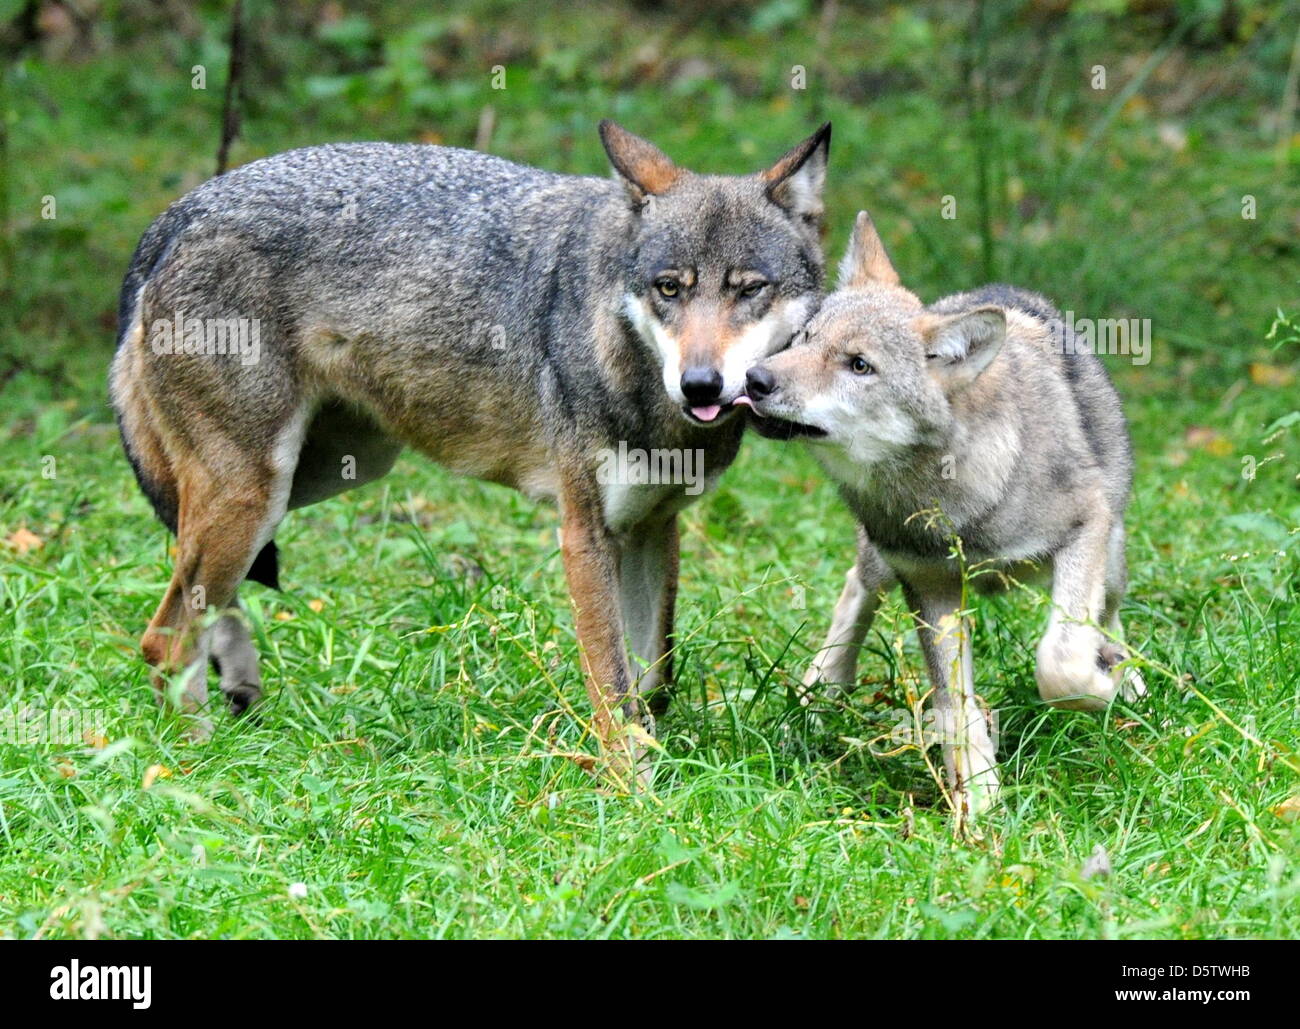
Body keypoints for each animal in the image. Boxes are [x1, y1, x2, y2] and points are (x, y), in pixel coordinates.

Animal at [110, 121, 831, 777]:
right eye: (669, 288)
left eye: (748, 288)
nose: (700, 383)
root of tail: (177, 215)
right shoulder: (584, 534)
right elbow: (612, 684)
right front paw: (634, 797)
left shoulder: (654, 526)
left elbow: (653, 682)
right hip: (255, 494)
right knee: (164, 638)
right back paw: (201, 763)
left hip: (310, 482)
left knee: (197, 593)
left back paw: (240, 700)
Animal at [740, 211, 1144, 816]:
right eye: (804, 340)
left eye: (859, 365)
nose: (755, 379)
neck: (952, 499)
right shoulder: (929, 586)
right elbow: (955, 708)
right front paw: (977, 796)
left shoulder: (1084, 525)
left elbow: (1060, 662)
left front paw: (1100, 688)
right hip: (885, 564)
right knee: (857, 585)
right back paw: (821, 688)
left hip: (1112, 552)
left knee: (1106, 613)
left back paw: (1127, 674)